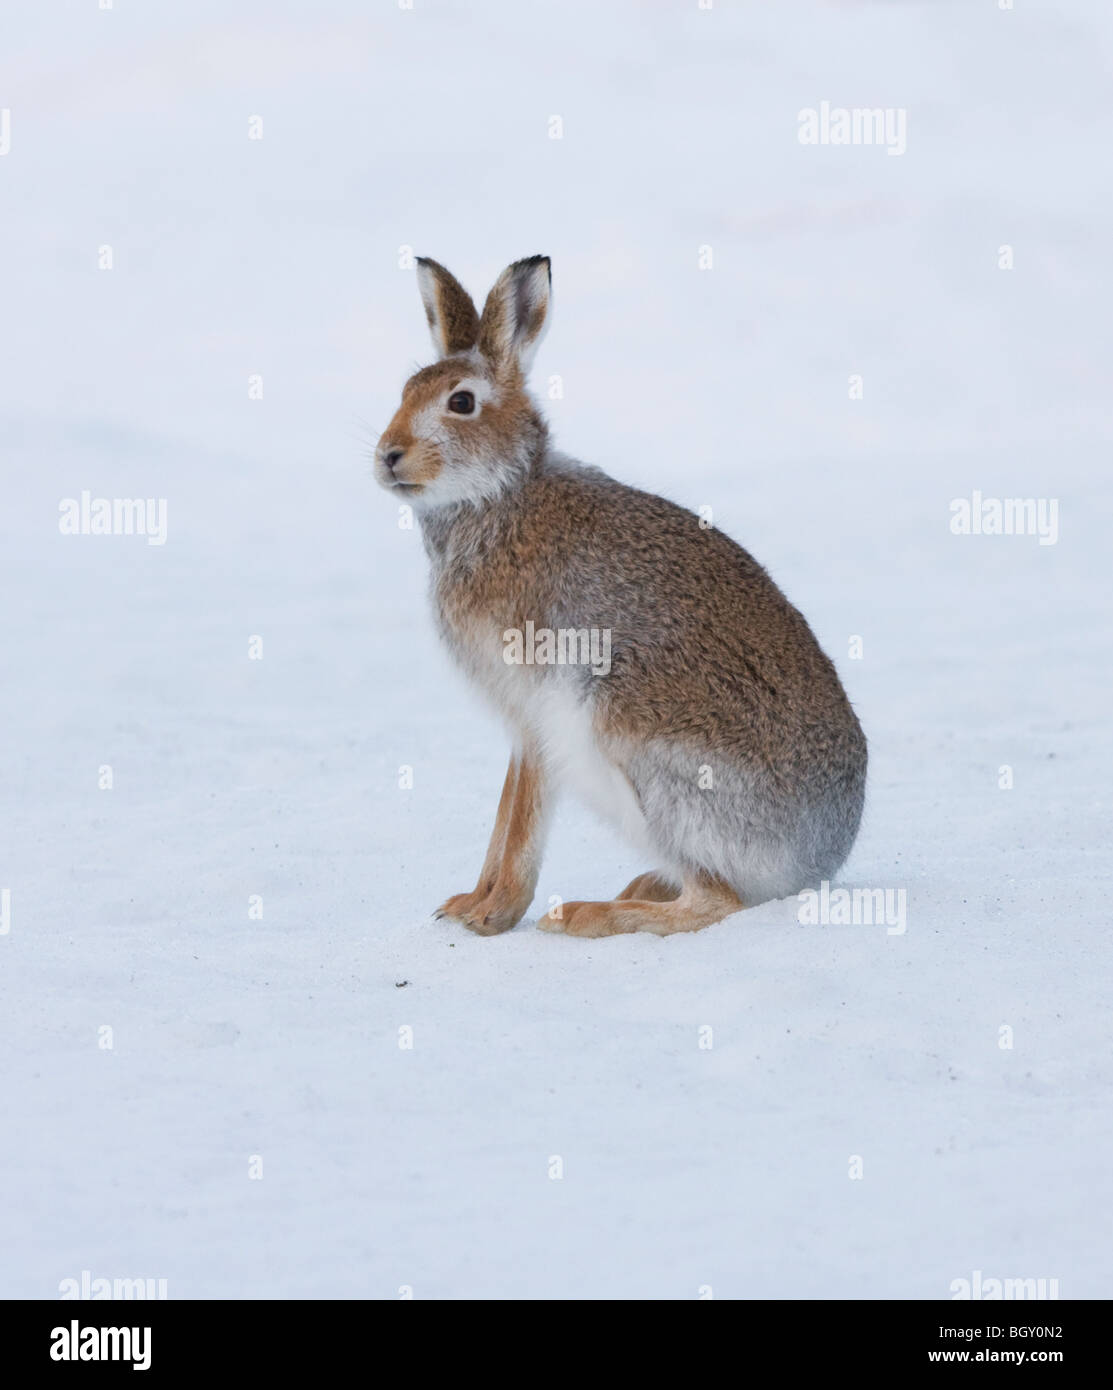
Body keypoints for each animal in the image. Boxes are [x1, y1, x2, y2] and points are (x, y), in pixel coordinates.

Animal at [374, 255, 867, 938]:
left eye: (462, 402)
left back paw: (586, 913)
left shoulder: (536, 703)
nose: (388, 456)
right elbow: (505, 810)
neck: (499, 497)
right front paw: (467, 903)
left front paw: (493, 915)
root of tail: (816, 859)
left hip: (636, 738)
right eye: (404, 391)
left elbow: (521, 815)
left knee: (716, 902)